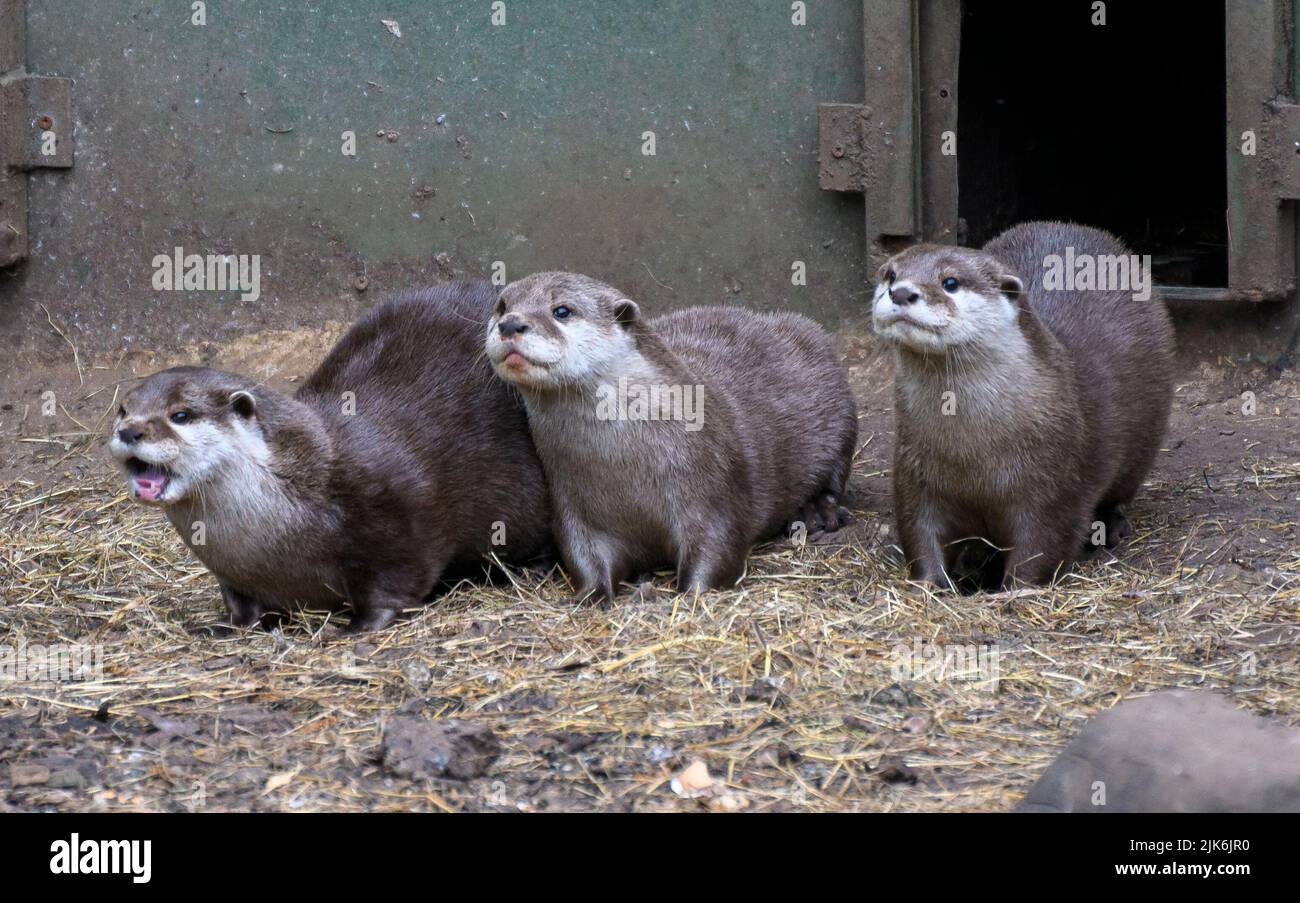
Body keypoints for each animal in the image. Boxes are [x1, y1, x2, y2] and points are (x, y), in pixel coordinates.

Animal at [108, 282, 552, 632]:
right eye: (123, 409)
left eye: (180, 414)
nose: (129, 431)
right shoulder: (234, 574)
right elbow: (241, 607)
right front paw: (223, 626)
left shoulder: (397, 522)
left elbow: (397, 582)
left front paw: (355, 627)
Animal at [484, 271, 858, 603]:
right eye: (502, 306)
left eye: (562, 310)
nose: (511, 324)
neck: (624, 467)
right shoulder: (572, 508)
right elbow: (584, 557)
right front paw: (588, 596)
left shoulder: (713, 489)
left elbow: (717, 546)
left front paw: (692, 594)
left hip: (834, 393)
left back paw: (817, 513)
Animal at [872, 221, 1174, 589]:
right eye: (890, 274)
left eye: (950, 282)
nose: (901, 292)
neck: (973, 455)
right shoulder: (916, 475)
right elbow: (920, 533)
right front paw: (929, 585)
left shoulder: (1055, 483)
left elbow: (1042, 543)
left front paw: (1016, 590)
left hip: (1144, 440)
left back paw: (1111, 526)